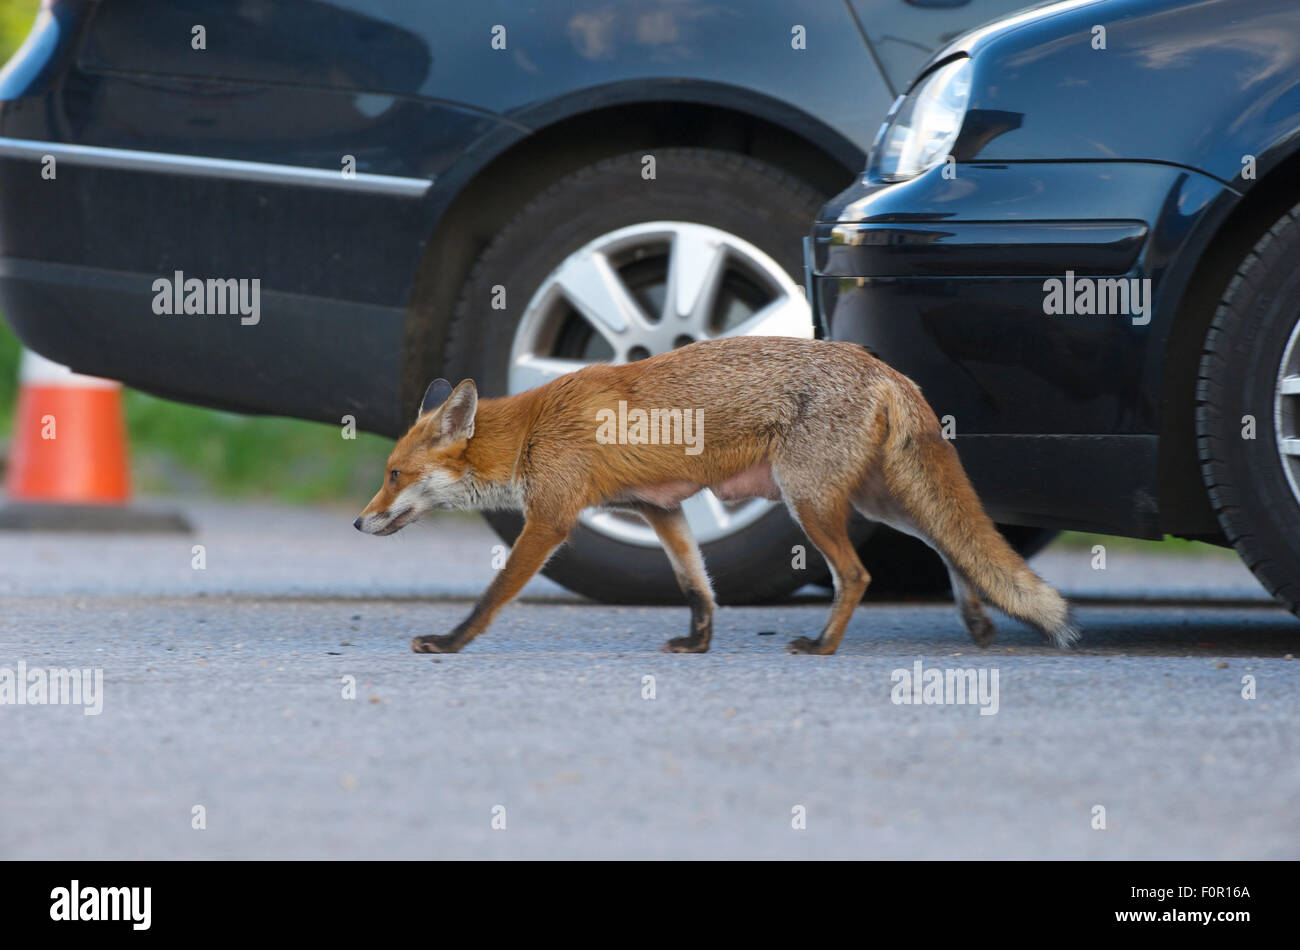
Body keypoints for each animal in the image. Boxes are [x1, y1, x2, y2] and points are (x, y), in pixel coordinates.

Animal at [354, 336, 1079, 655]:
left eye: (392, 475)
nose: (360, 524)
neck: (533, 431)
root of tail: (885, 367)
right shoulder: (660, 507)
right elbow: (695, 582)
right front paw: (698, 642)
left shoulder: (551, 520)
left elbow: (493, 596)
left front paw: (450, 642)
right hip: (879, 501)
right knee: (953, 545)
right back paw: (979, 622)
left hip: (809, 500)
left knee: (857, 573)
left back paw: (824, 645)